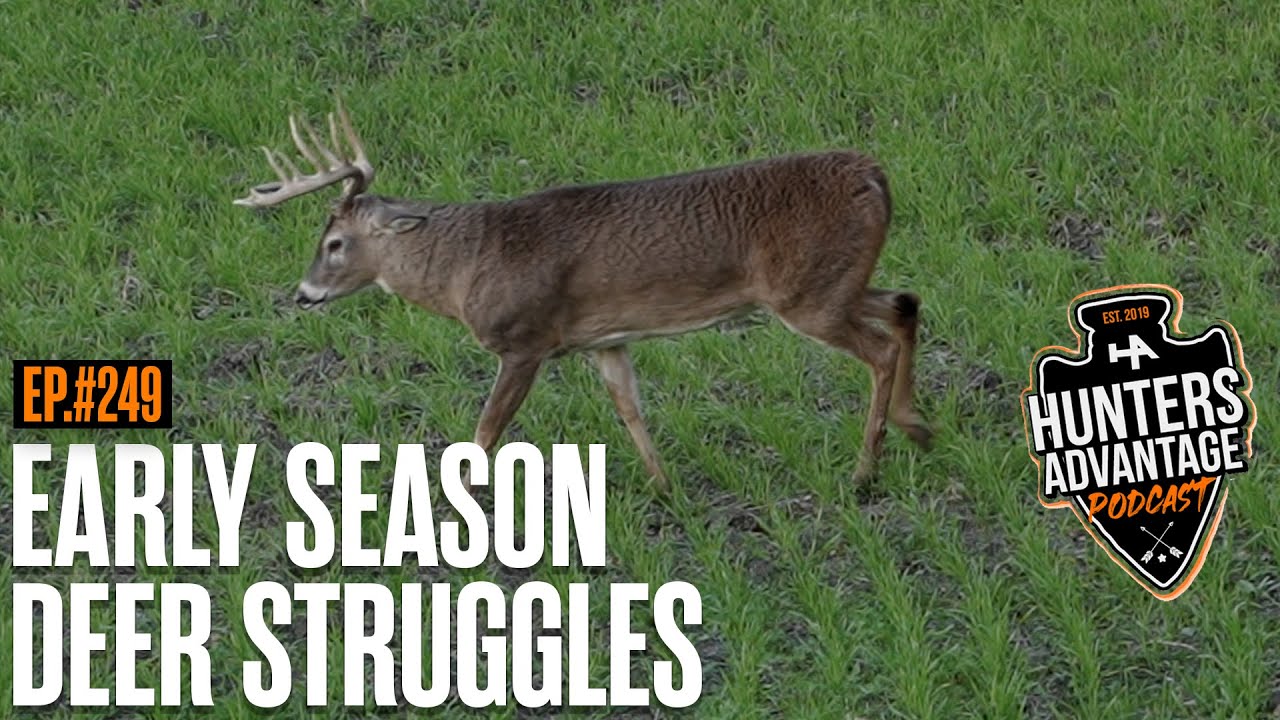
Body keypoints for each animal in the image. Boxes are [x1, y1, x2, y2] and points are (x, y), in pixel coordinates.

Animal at [234, 99, 932, 495]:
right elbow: (630, 410)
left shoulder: (525, 340)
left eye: (334, 243)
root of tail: (876, 174)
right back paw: (917, 429)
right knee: (906, 302)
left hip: (807, 294)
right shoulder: (605, 339)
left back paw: (865, 471)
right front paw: (665, 489)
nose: (303, 293)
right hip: (833, 283)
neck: (464, 268)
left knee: (878, 347)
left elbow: (485, 432)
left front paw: (445, 513)